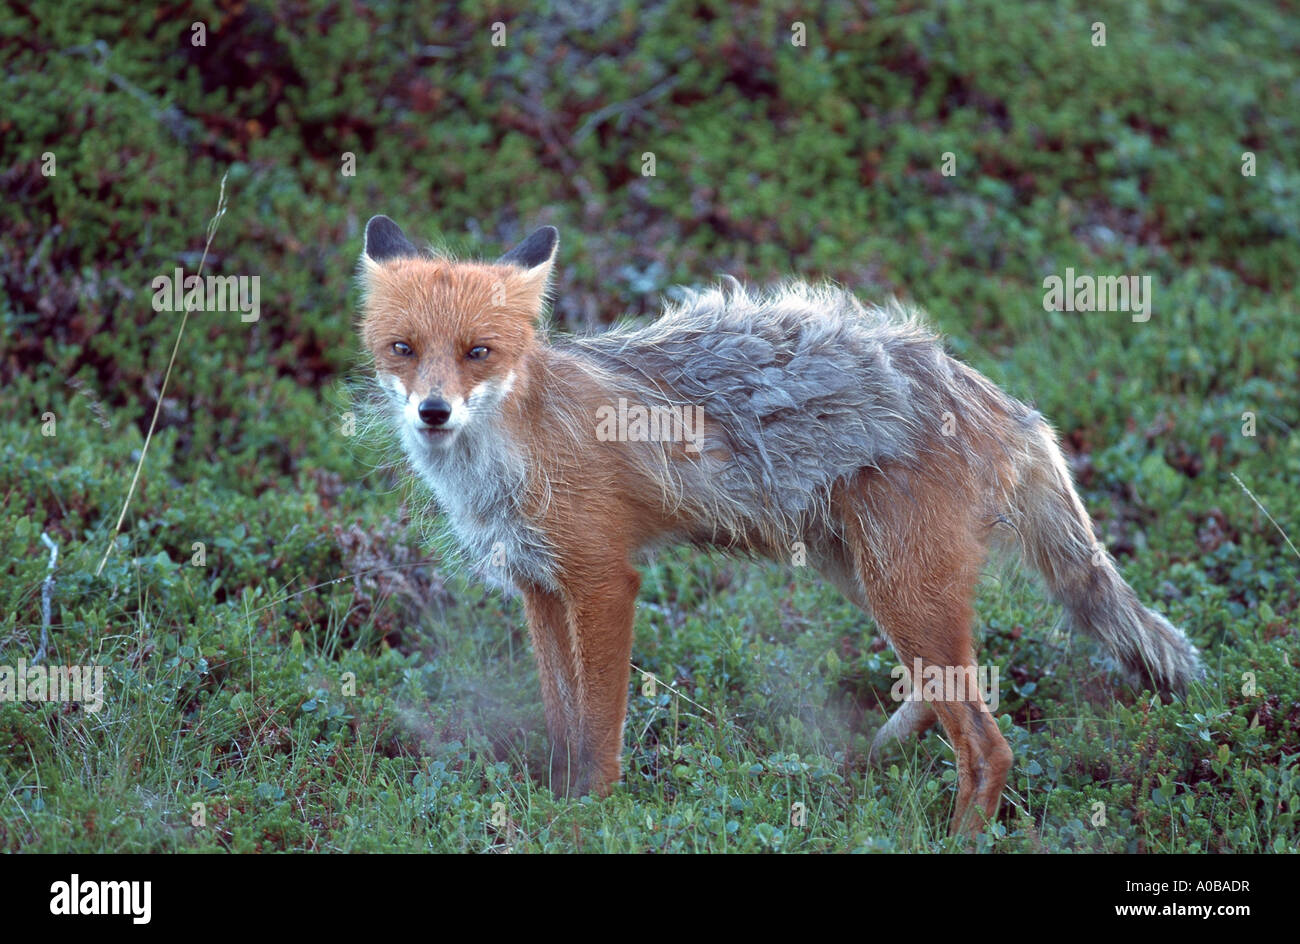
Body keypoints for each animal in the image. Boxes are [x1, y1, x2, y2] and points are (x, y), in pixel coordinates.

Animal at [355, 215, 1204, 835]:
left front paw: (591, 815)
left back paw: (958, 833)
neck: (506, 459)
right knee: (962, 681)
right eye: (404, 350)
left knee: (990, 748)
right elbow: (564, 716)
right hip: (872, 582)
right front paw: (558, 802)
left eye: (479, 352)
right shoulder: (539, 586)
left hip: (899, 592)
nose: (434, 412)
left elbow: (599, 727)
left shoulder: (603, 581)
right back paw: (878, 754)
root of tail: (988, 392)